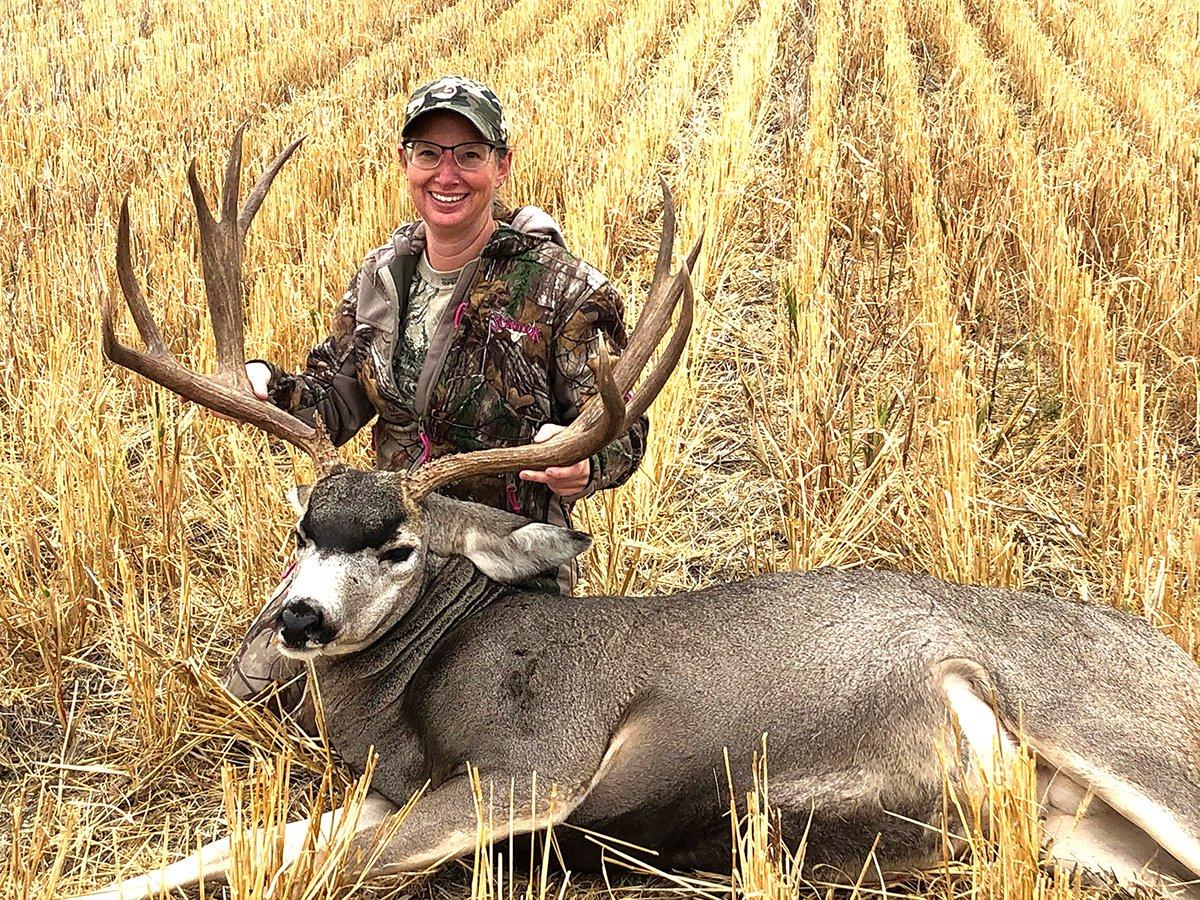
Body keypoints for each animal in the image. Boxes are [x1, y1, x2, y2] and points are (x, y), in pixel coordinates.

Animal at [80, 128, 1200, 899]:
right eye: (301, 530)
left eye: (397, 546)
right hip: (1079, 830)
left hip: (1117, 730)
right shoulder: (389, 789)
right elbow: (242, 842)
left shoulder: (538, 760)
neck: (417, 686)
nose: (299, 619)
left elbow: (330, 870)